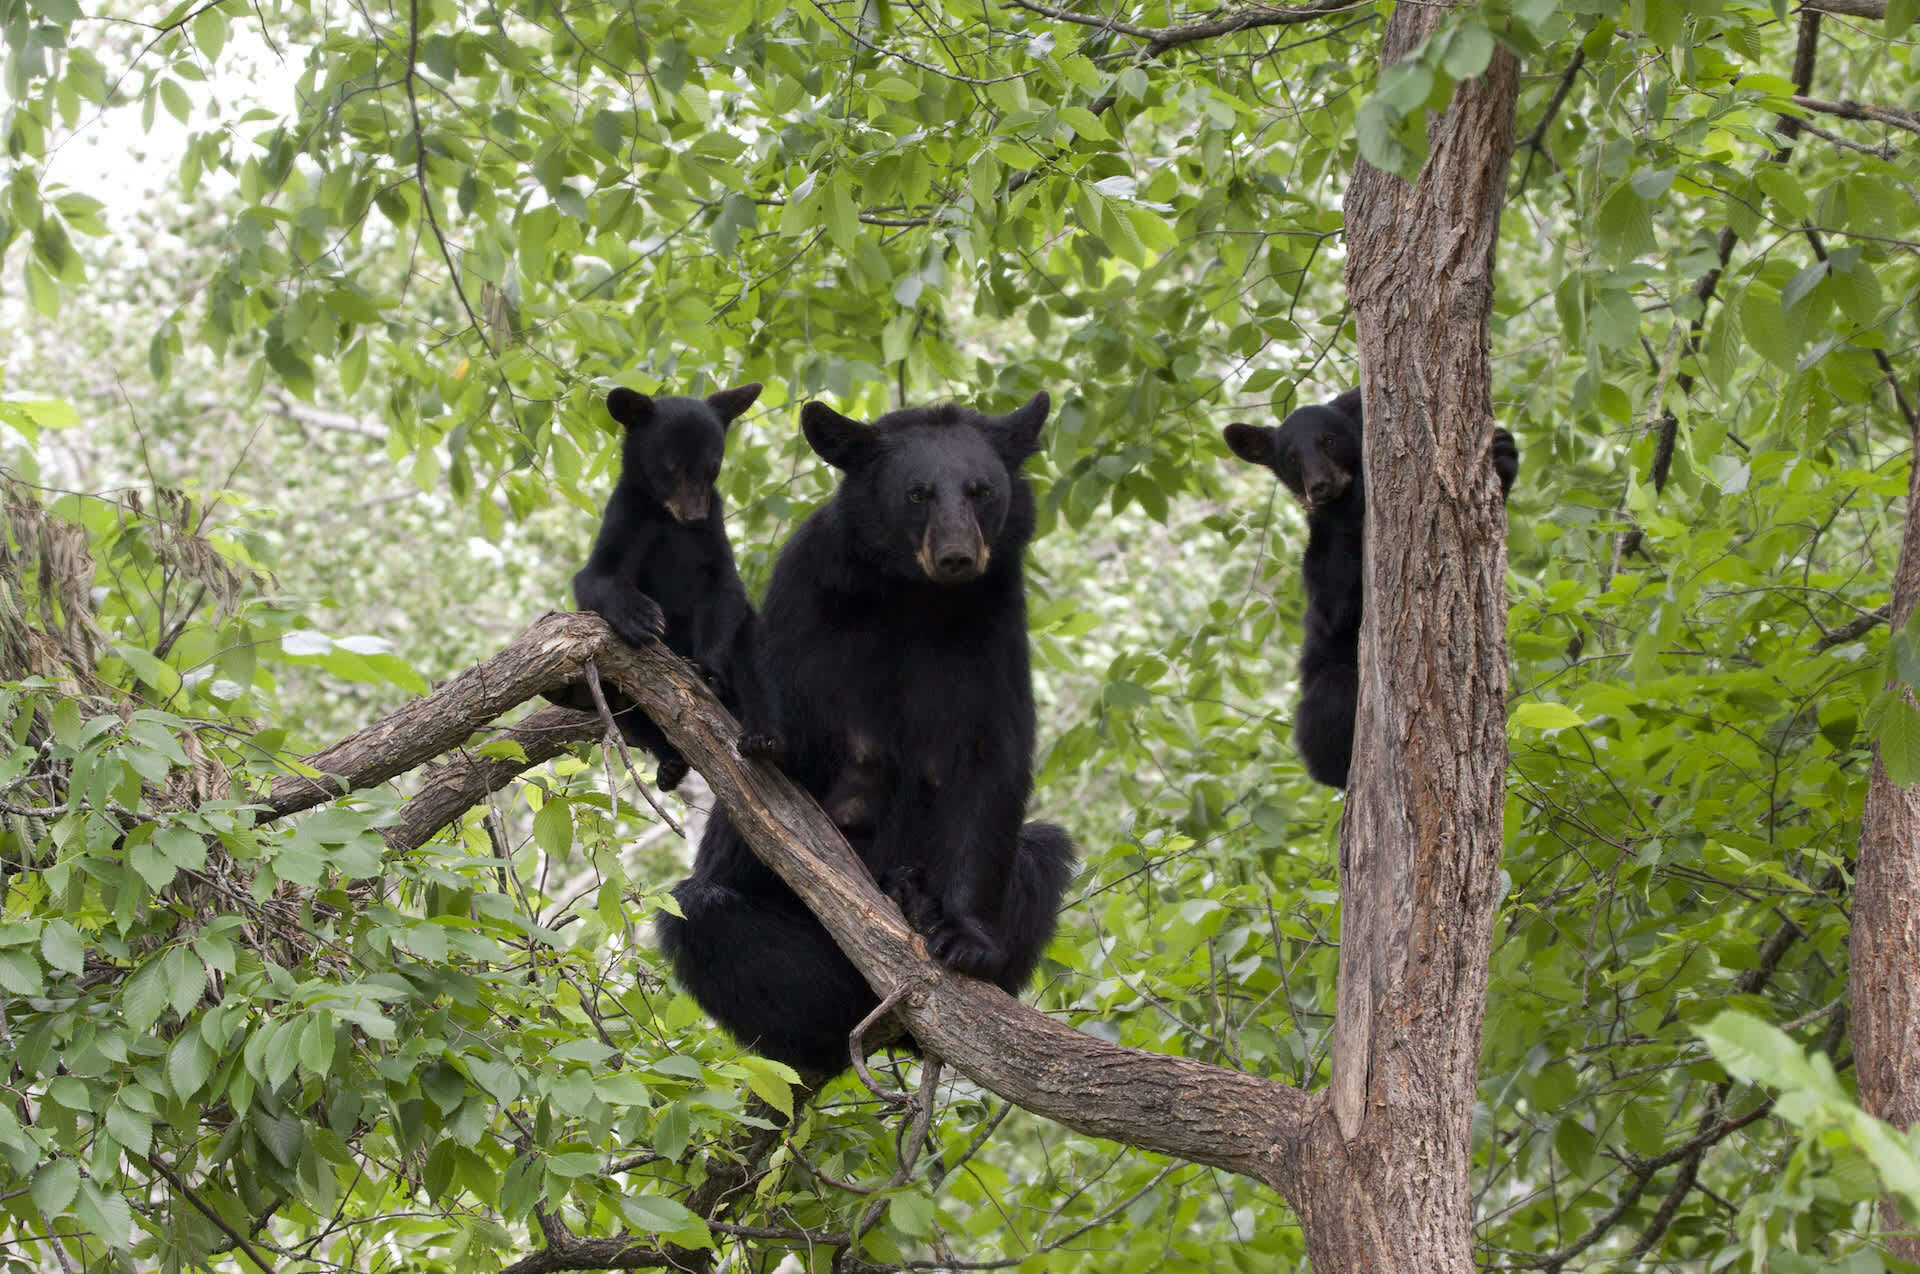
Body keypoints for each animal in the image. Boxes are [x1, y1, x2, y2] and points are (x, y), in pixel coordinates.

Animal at [548, 381, 779, 789]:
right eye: (672, 468)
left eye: (713, 468)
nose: (695, 514)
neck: (667, 519)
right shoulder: (628, 516)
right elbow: (594, 577)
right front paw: (641, 617)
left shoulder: (712, 536)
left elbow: (724, 591)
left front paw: (708, 670)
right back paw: (668, 762)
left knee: (753, 648)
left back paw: (761, 737)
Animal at [656, 391, 1076, 1079]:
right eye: (917, 493)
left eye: (981, 490)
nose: (957, 557)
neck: (915, 595)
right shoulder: (810, 598)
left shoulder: (995, 620)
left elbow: (990, 761)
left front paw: (965, 940)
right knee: (701, 914)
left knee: (1044, 847)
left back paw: (919, 906)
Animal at [1222, 387, 1518, 789]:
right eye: (1292, 458)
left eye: (1328, 440)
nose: (1319, 486)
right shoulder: (1321, 553)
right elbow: (1334, 605)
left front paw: (1504, 453)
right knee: (1329, 702)